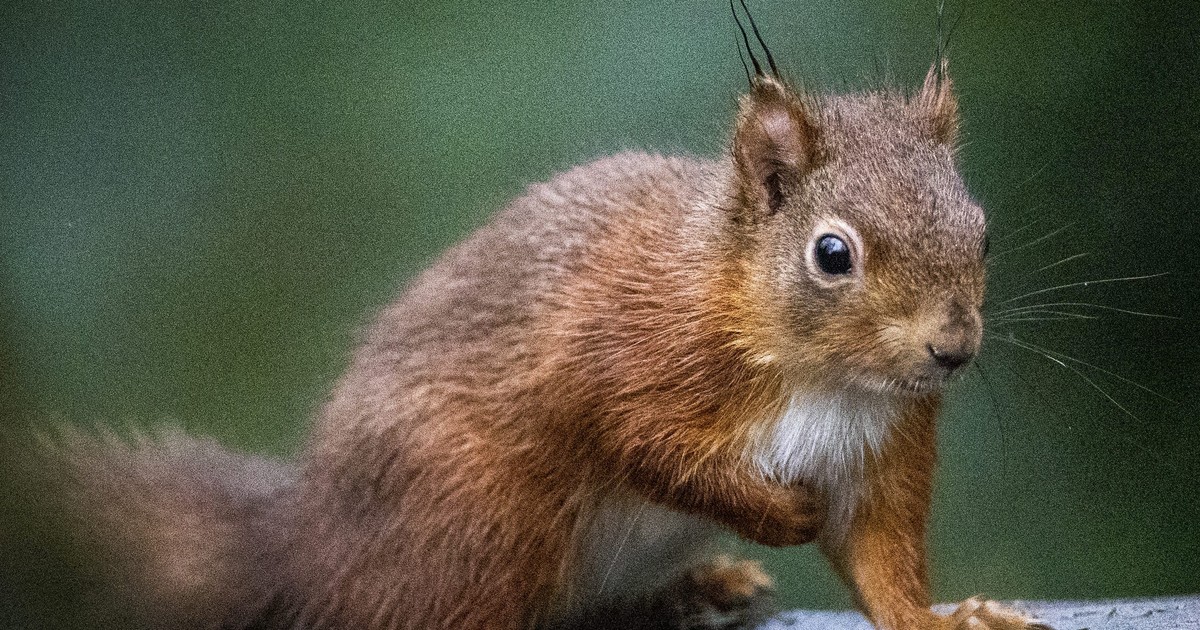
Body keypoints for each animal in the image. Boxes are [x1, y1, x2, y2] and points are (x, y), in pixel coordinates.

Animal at [41, 27, 1053, 630]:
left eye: (982, 232)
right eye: (832, 254)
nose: (952, 349)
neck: (821, 374)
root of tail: (308, 547)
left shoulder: (884, 451)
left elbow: (881, 556)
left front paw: (944, 617)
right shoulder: (613, 353)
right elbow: (637, 442)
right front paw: (776, 512)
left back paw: (694, 587)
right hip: (483, 515)